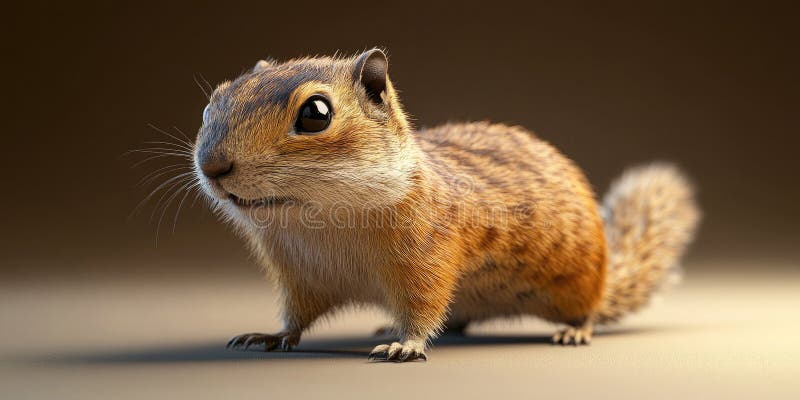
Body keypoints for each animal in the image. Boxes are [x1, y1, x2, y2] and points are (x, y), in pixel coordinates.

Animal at [192, 49, 700, 362]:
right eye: (214, 101)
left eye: (315, 114)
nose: (212, 165)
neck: (315, 221)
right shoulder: (300, 278)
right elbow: (295, 317)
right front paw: (272, 335)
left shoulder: (427, 258)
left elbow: (424, 305)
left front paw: (407, 344)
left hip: (578, 284)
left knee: (588, 310)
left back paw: (574, 331)